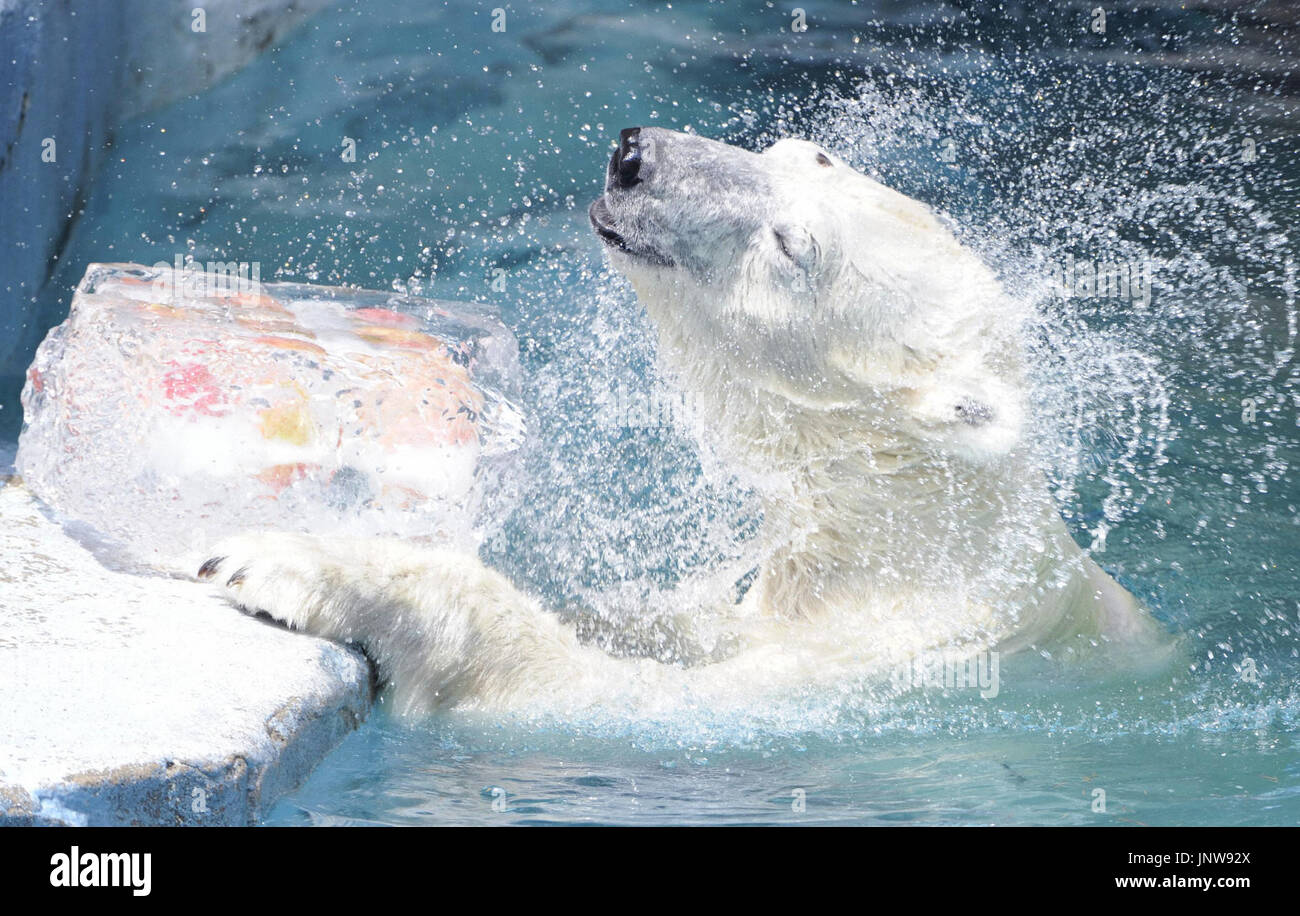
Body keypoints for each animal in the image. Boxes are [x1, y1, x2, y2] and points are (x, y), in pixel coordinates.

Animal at [198, 127, 1171, 715]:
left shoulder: (875, 667)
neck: (909, 536)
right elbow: (680, 625)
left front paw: (288, 561)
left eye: (790, 248)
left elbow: (597, 694)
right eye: (797, 149)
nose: (637, 156)